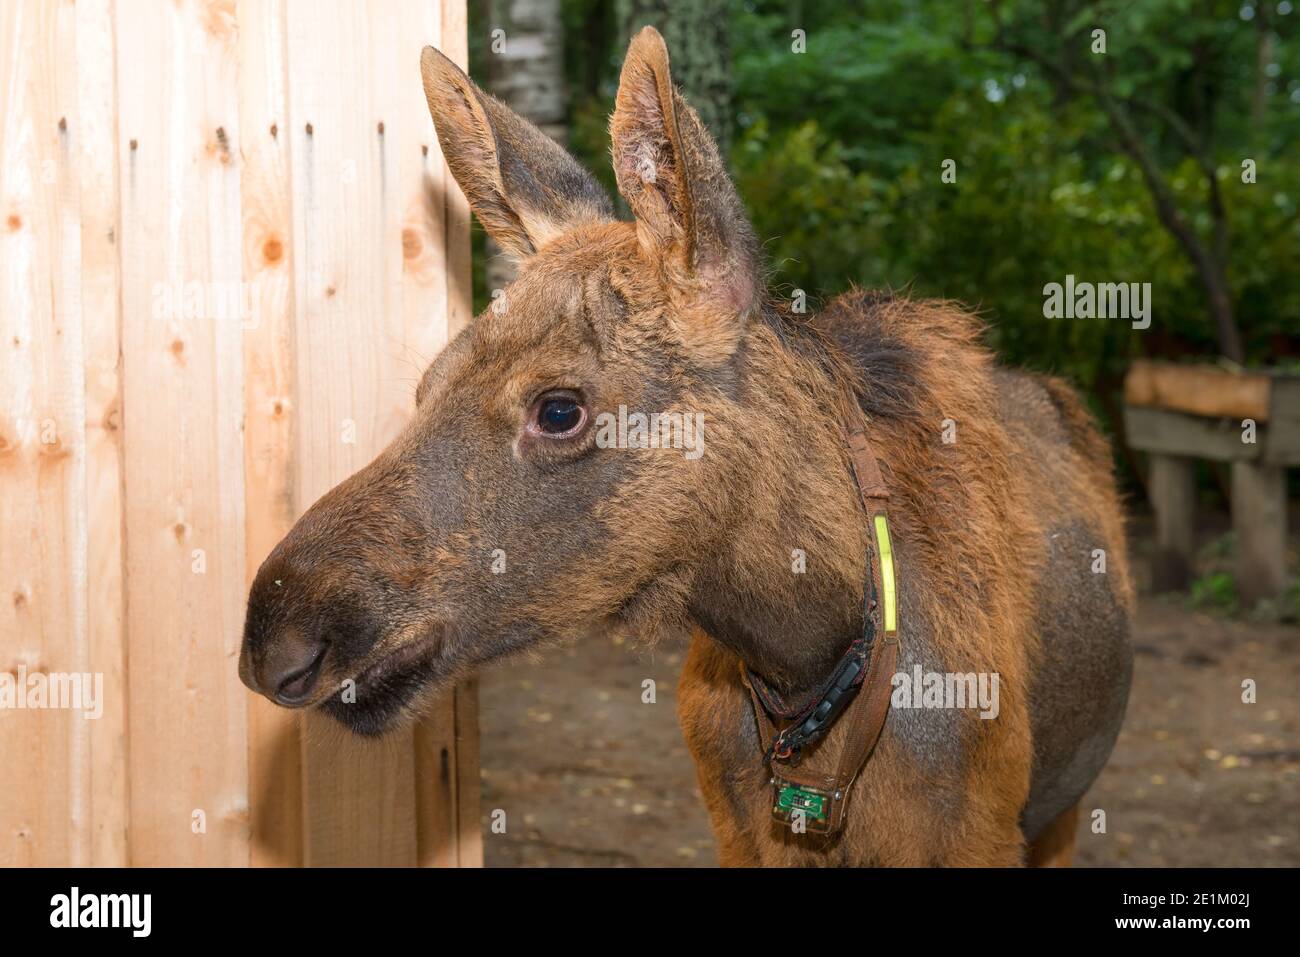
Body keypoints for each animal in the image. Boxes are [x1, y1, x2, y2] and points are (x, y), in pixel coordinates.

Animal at [239, 27, 1134, 867]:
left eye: (558, 409)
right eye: (429, 380)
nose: (275, 635)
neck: (806, 660)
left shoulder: (980, 833)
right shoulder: (739, 830)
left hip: (1058, 811)